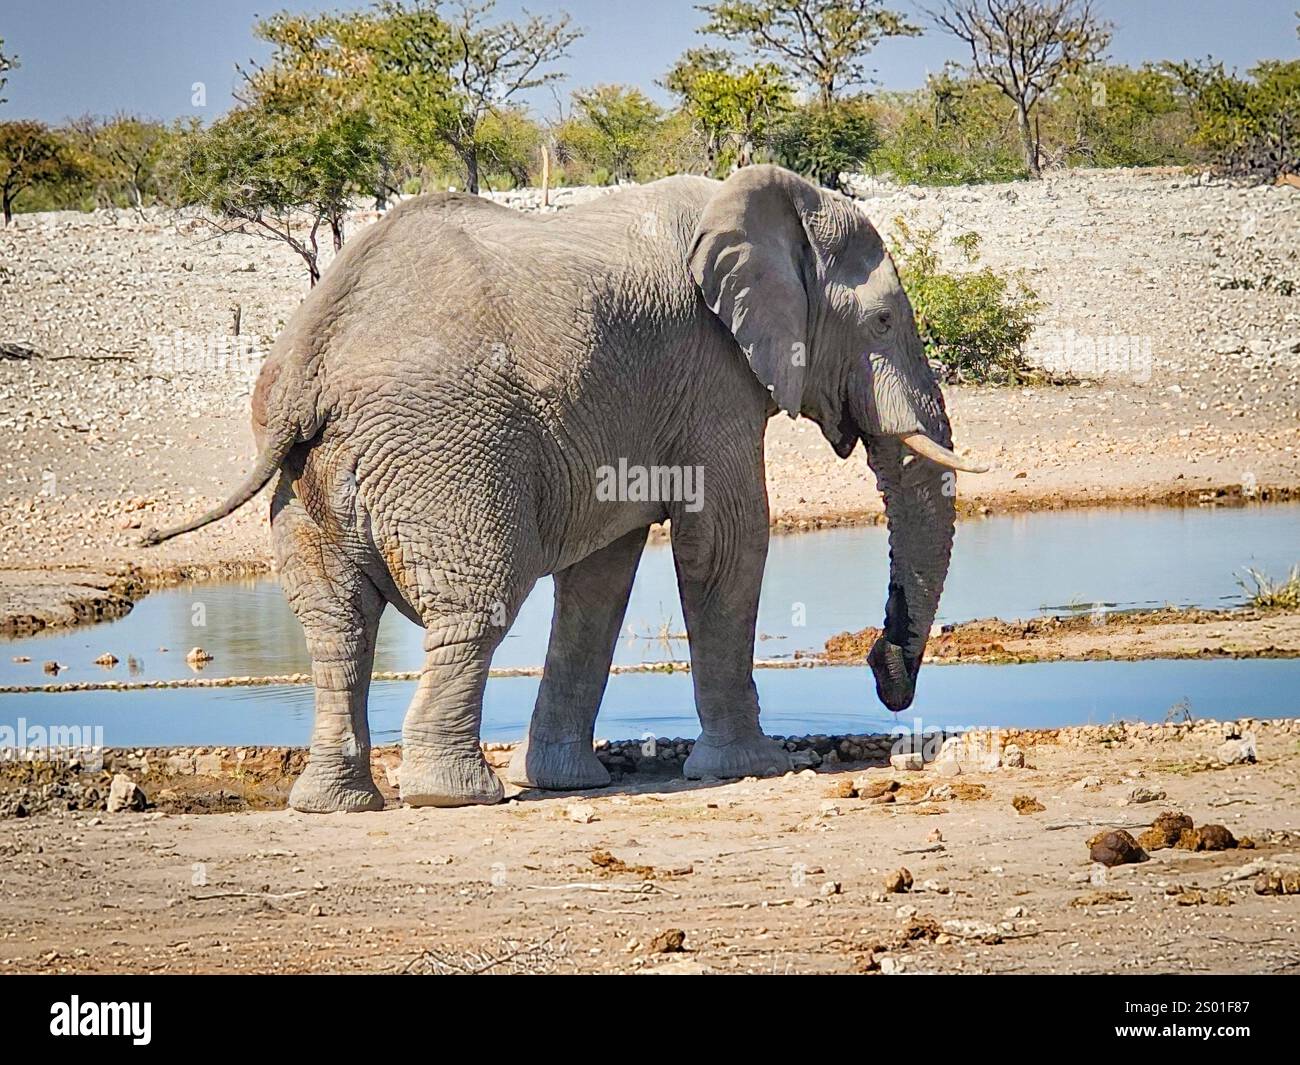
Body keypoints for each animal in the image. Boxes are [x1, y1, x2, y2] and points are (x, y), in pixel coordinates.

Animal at [144, 164, 984, 813]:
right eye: (883, 321)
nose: (883, 668)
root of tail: (312, 361)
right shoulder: (711, 374)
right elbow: (725, 542)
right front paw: (752, 767)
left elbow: (602, 574)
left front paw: (567, 780)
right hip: (445, 454)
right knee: (474, 604)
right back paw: (452, 795)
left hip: (306, 479)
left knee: (335, 624)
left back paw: (335, 804)